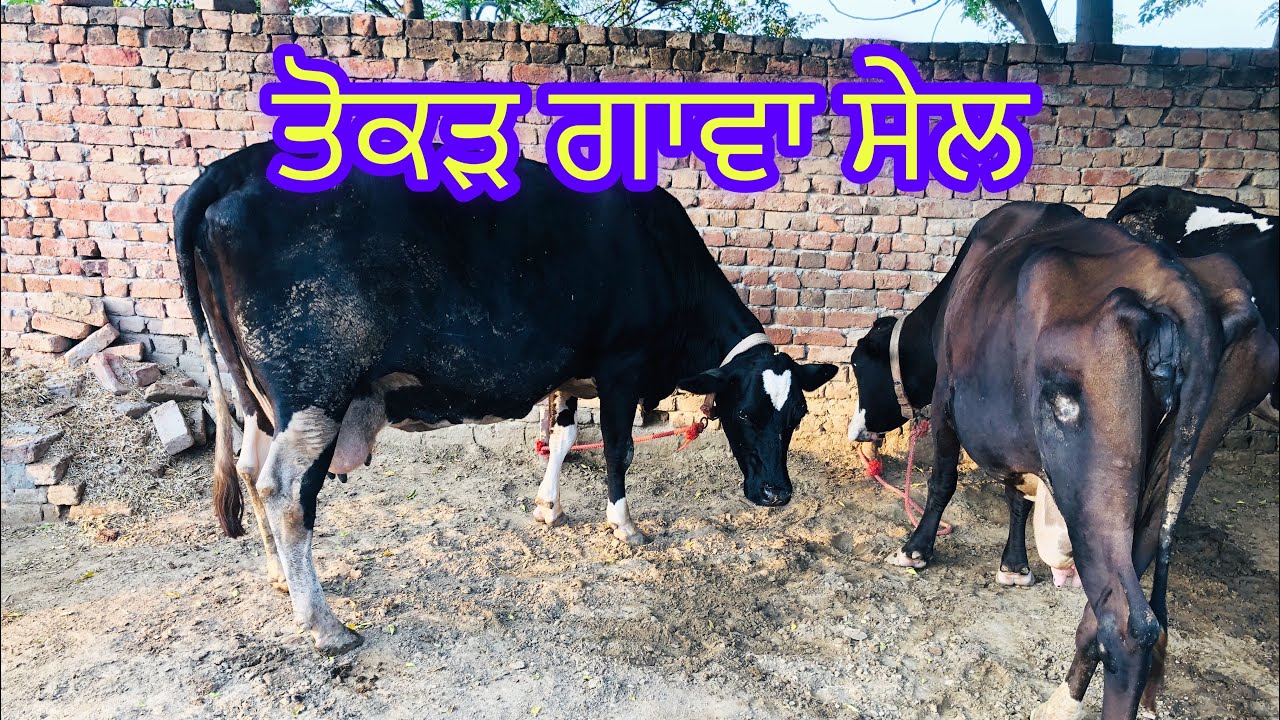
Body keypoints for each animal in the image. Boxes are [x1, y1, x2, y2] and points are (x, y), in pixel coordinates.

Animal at [175, 141, 837, 655]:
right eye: (746, 413)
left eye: (797, 415)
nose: (777, 493)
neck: (666, 258)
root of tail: (232, 167)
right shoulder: (622, 368)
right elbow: (618, 449)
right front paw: (625, 526)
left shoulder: (574, 373)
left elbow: (565, 437)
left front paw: (548, 506)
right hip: (314, 390)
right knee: (283, 491)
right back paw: (324, 624)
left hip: (258, 395)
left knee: (248, 467)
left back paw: (278, 579)